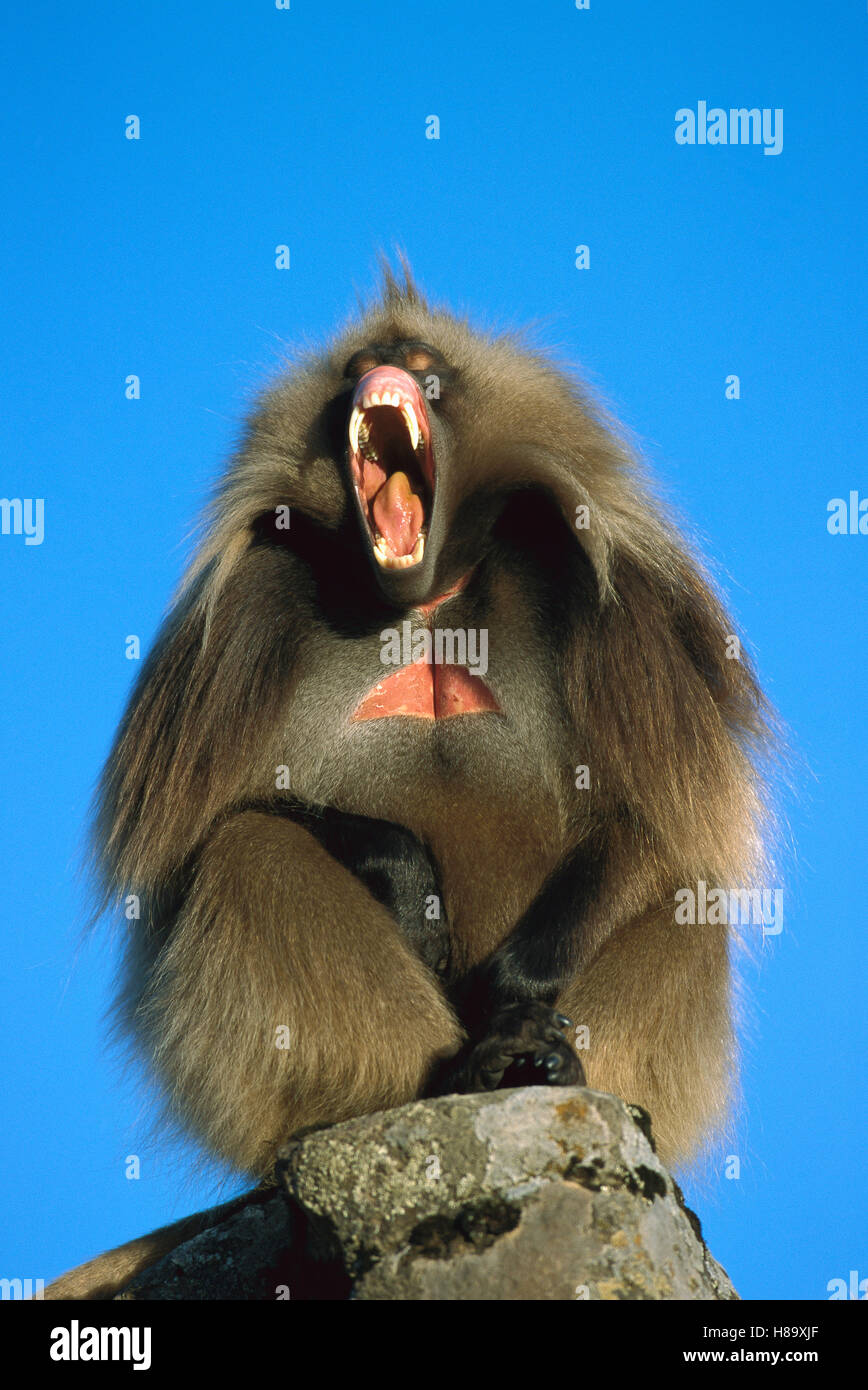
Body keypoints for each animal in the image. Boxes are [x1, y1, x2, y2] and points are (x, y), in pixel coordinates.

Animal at [47, 260, 774, 1297]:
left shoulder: (620, 612)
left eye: (427, 371)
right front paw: (404, 878)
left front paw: (513, 989)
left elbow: (666, 825)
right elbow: (196, 837)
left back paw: (535, 1060)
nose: (381, 372)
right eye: (355, 371)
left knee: (687, 892)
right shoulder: (240, 627)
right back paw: (450, 1079)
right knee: (249, 851)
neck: (425, 599)